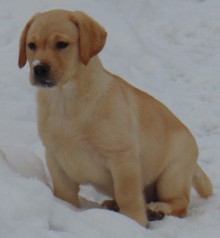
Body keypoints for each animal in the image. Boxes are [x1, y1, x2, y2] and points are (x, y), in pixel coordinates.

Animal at [19, 9, 213, 227]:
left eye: (61, 44)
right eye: (31, 45)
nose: (39, 68)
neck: (65, 100)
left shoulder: (122, 158)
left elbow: (128, 196)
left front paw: (134, 224)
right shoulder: (55, 158)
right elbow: (64, 195)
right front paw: (68, 210)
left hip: (172, 174)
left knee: (180, 204)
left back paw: (156, 209)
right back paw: (114, 204)